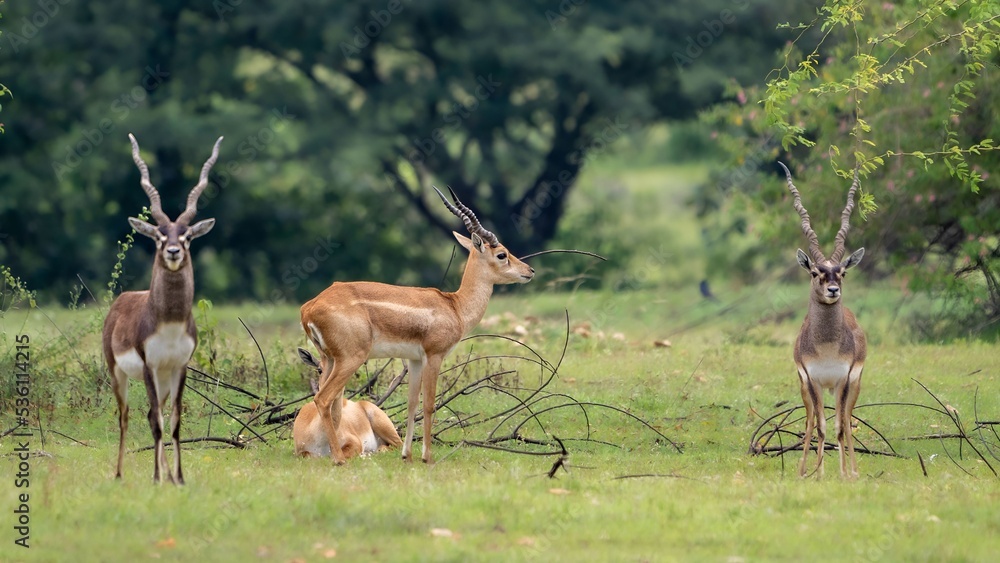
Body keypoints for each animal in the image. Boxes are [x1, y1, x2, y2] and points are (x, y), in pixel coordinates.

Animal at [102, 133, 223, 484]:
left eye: (187, 236)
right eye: (158, 235)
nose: (172, 251)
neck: (168, 324)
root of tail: (121, 300)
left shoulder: (179, 367)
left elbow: (174, 422)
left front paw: (177, 478)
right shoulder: (148, 366)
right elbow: (156, 422)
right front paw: (157, 478)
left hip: (163, 379)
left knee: (149, 414)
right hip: (118, 373)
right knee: (126, 416)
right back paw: (119, 473)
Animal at [299, 187, 534, 464]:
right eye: (501, 254)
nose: (529, 271)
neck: (455, 306)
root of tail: (309, 307)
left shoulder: (413, 360)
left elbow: (412, 403)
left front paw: (407, 455)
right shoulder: (434, 356)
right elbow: (429, 404)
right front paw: (427, 457)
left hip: (328, 360)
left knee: (331, 401)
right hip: (350, 358)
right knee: (323, 399)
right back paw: (338, 459)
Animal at [779, 161, 867, 479]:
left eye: (842, 272)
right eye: (816, 272)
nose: (833, 290)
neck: (827, 347)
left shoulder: (844, 379)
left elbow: (840, 426)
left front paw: (844, 474)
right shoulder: (812, 379)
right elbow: (820, 426)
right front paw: (816, 474)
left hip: (853, 385)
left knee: (848, 420)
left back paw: (852, 469)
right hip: (805, 388)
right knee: (808, 421)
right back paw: (804, 468)